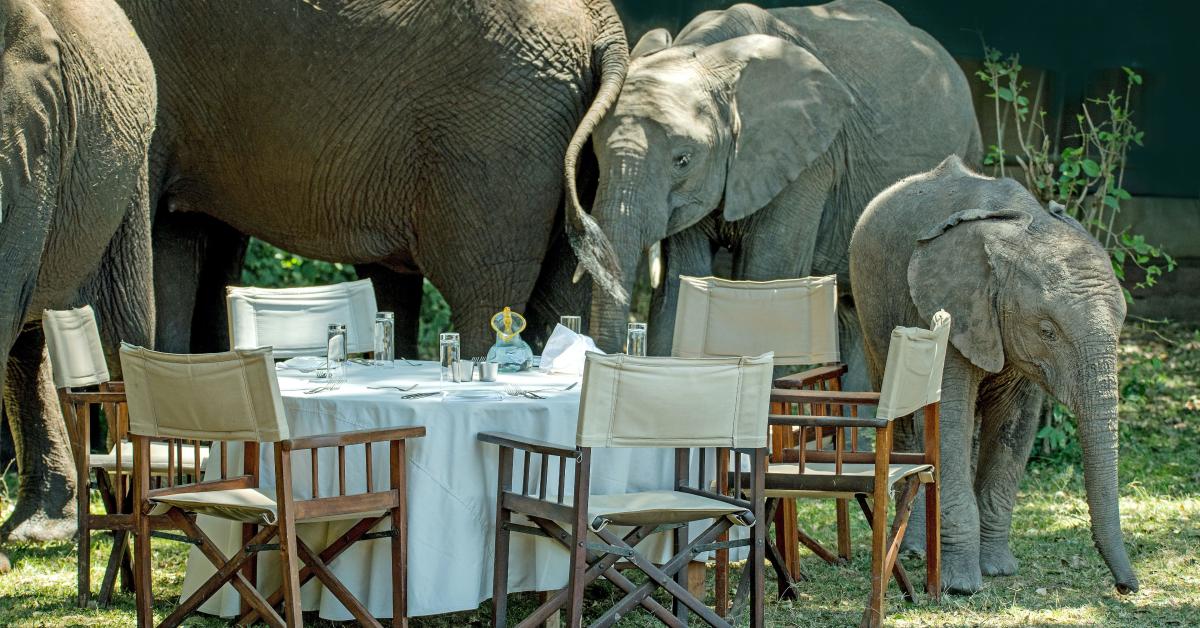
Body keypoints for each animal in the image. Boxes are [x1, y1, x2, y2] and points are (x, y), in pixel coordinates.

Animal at [563, 0, 981, 385]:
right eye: (595, 156)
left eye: (683, 160)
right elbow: (683, 282)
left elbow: (766, 279)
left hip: (967, 147)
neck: (709, 55)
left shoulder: (811, 161)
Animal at [848, 154, 1139, 595]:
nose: (1127, 587)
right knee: (904, 419)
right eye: (1048, 331)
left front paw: (999, 570)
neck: (1021, 225)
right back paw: (914, 550)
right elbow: (948, 421)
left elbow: (1015, 426)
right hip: (869, 308)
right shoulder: (951, 308)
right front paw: (962, 586)